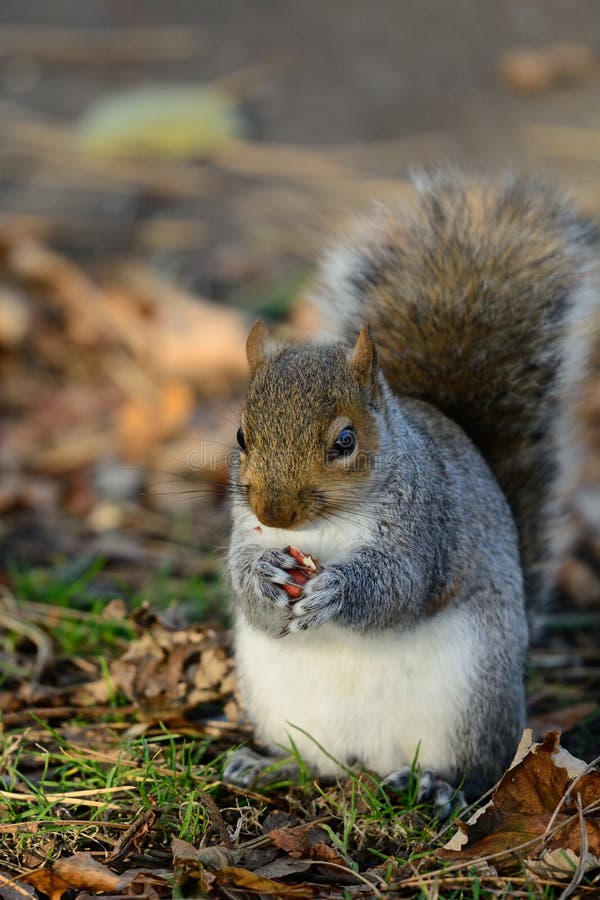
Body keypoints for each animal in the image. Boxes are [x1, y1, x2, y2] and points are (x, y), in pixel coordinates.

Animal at [225, 171, 598, 804]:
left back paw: (433, 784)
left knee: (471, 767)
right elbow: (240, 578)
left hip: (468, 701)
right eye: (240, 435)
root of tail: (369, 759)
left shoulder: (429, 526)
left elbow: (401, 585)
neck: (324, 527)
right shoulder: (242, 527)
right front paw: (264, 576)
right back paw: (267, 766)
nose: (273, 512)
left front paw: (336, 591)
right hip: (282, 705)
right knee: (315, 761)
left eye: (345, 441)